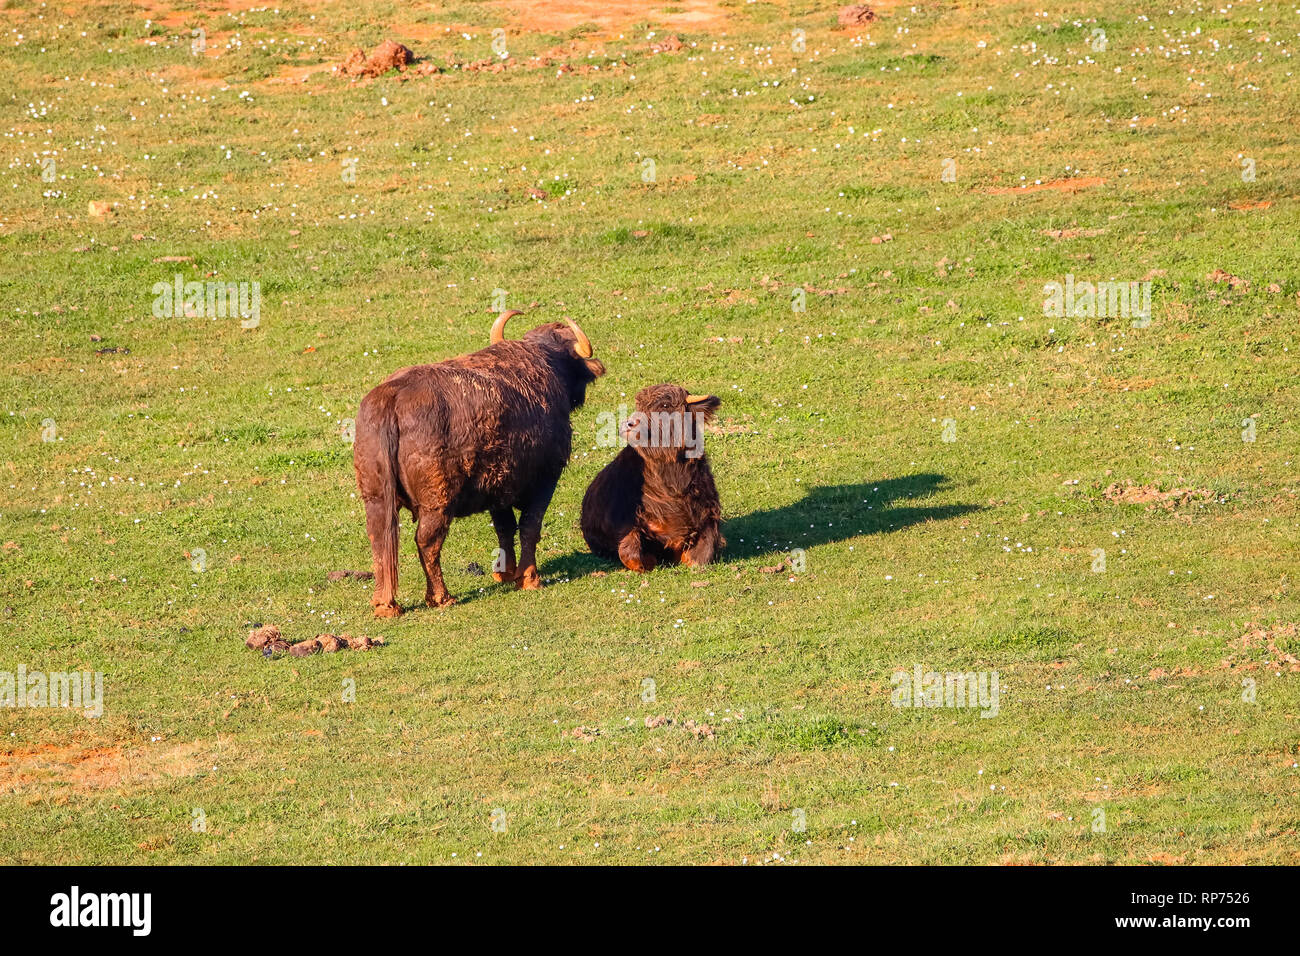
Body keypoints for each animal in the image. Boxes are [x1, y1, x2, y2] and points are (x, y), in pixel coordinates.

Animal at [353, 310, 604, 617]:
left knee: (381, 541)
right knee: (427, 543)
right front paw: (528, 578)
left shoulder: (499, 489)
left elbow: (505, 528)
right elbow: (529, 527)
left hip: (376, 499)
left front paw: (505, 573)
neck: (546, 365)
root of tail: (392, 397)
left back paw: (386, 604)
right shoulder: (545, 480)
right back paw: (442, 597)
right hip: (437, 506)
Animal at [580, 384, 723, 571]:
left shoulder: (709, 515)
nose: (628, 424)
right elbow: (632, 555)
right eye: (639, 405)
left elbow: (700, 557)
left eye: (665, 405)